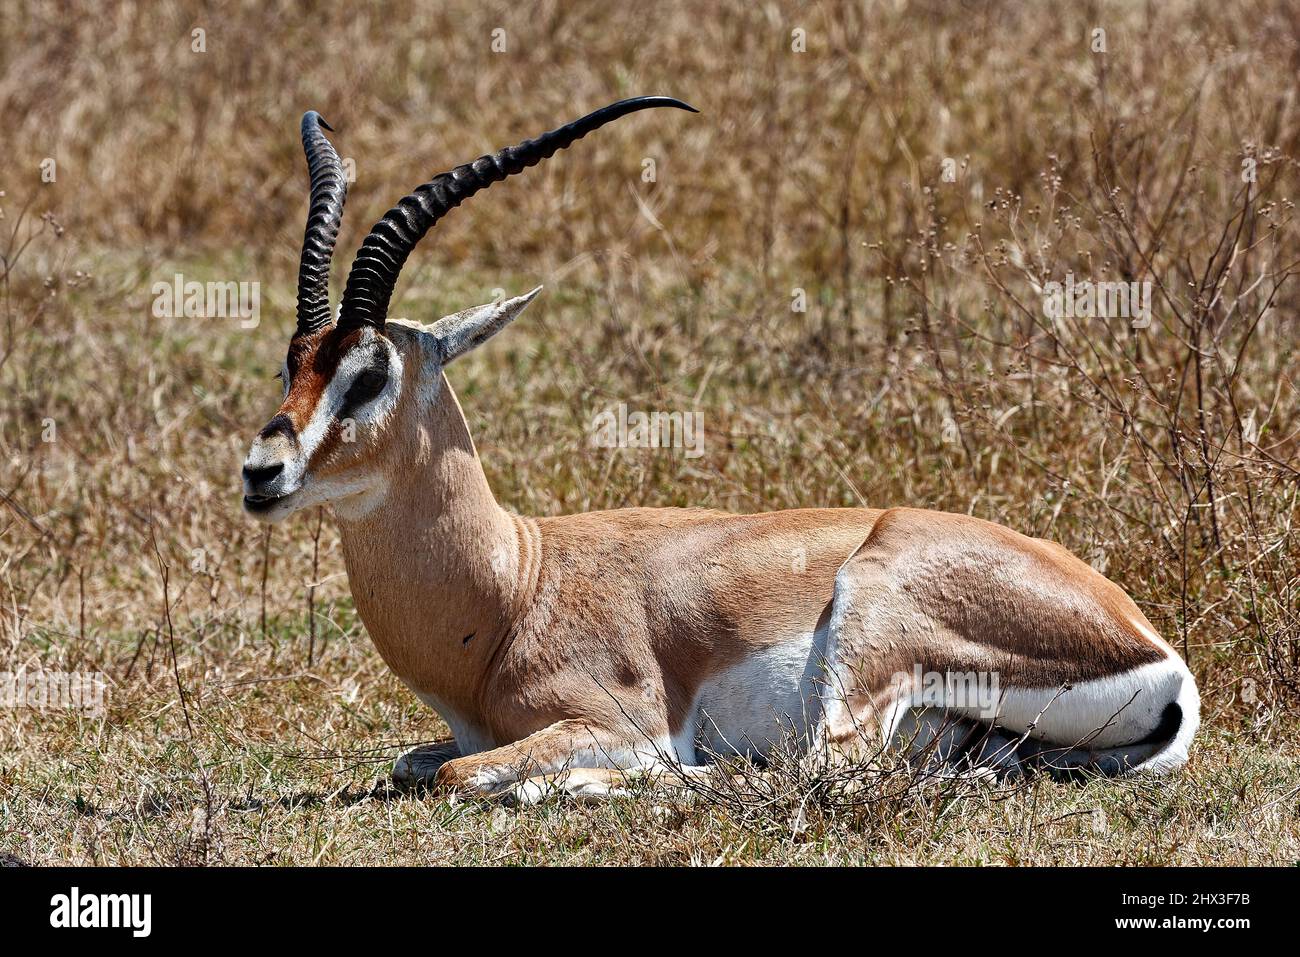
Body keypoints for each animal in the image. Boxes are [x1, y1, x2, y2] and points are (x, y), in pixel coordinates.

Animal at [241, 97, 1199, 802]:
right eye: (292, 361)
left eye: (369, 373)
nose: (261, 473)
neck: (516, 586)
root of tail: (1154, 648)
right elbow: (414, 760)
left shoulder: (618, 719)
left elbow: (459, 772)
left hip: (866, 625)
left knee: (812, 770)